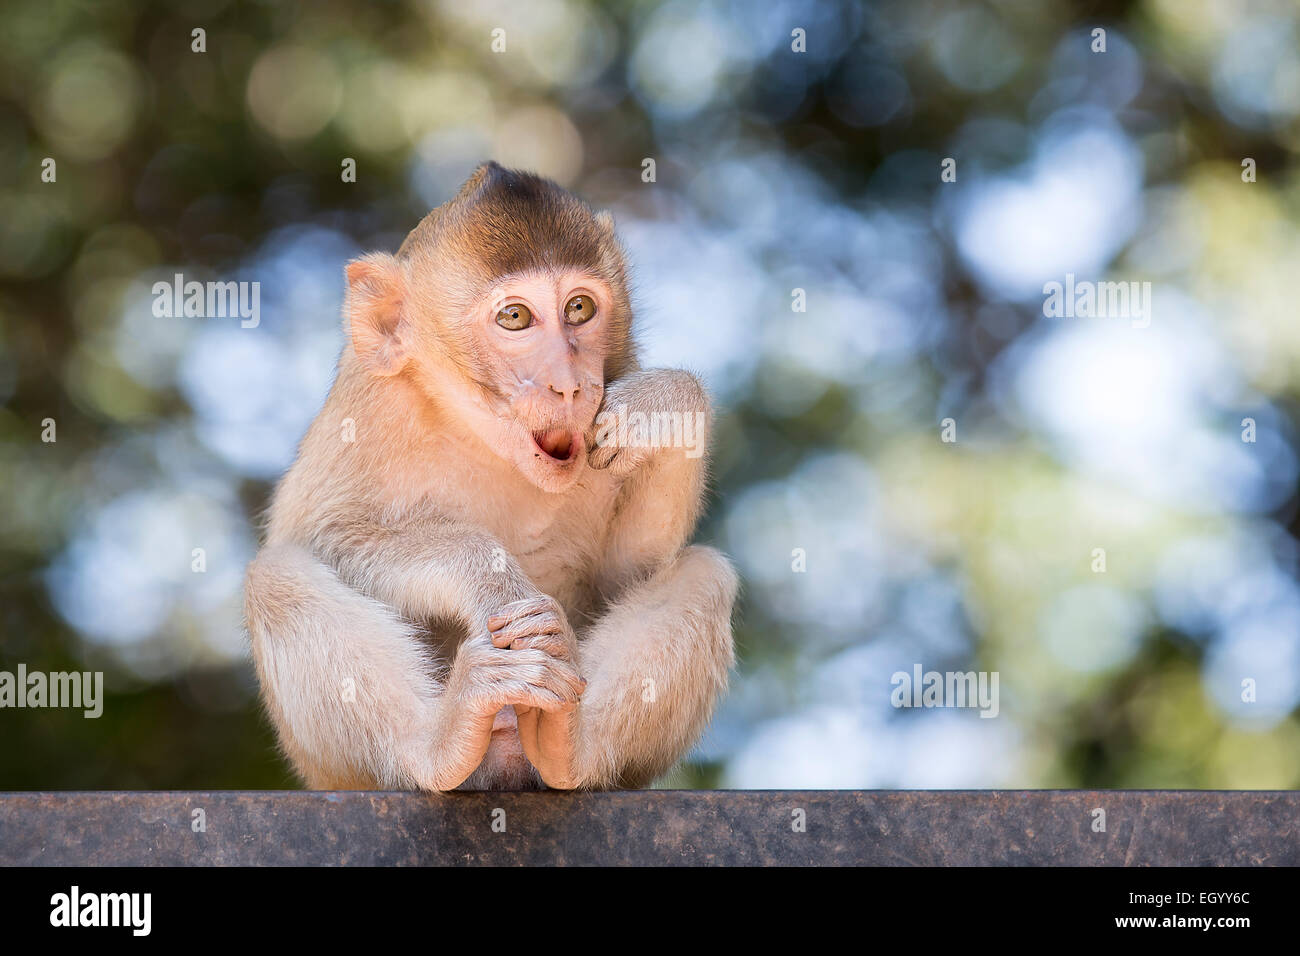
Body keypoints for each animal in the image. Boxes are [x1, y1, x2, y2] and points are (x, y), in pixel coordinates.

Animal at [243, 162, 738, 791]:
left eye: (580, 308)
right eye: (515, 317)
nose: (570, 384)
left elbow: (623, 575)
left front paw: (665, 406)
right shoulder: (369, 404)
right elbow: (325, 534)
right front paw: (490, 578)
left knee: (704, 573)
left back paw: (568, 748)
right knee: (275, 577)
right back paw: (441, 745)